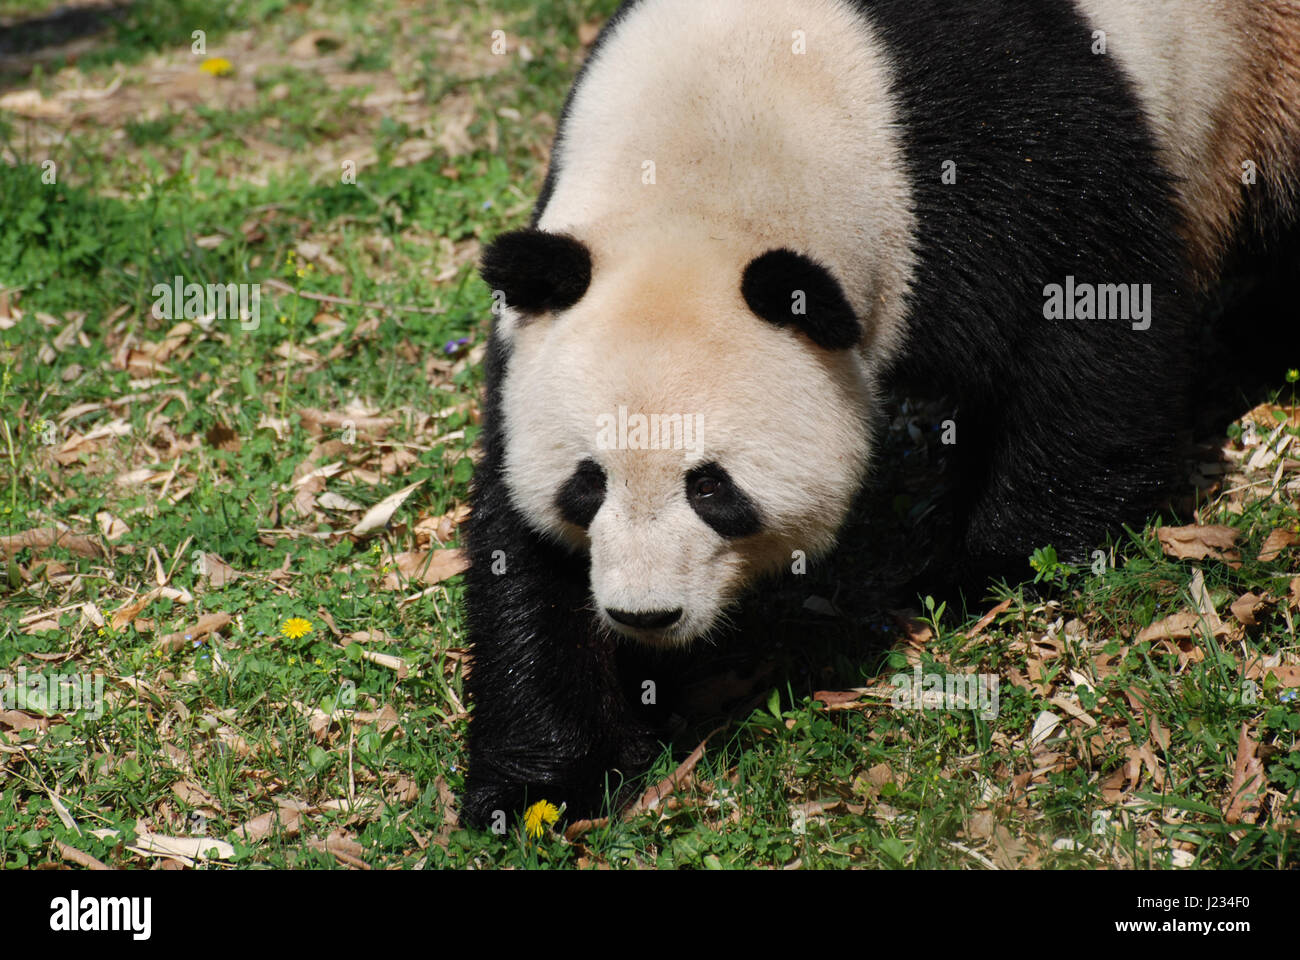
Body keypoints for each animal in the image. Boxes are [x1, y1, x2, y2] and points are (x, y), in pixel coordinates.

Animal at [459, 0, 1300, 826]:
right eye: (587, 484)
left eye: (712, 487)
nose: (646, 615)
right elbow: (522, 548)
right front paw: (542, 782)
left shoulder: (1016, 146)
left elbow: (1096, 333)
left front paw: (983, 568)